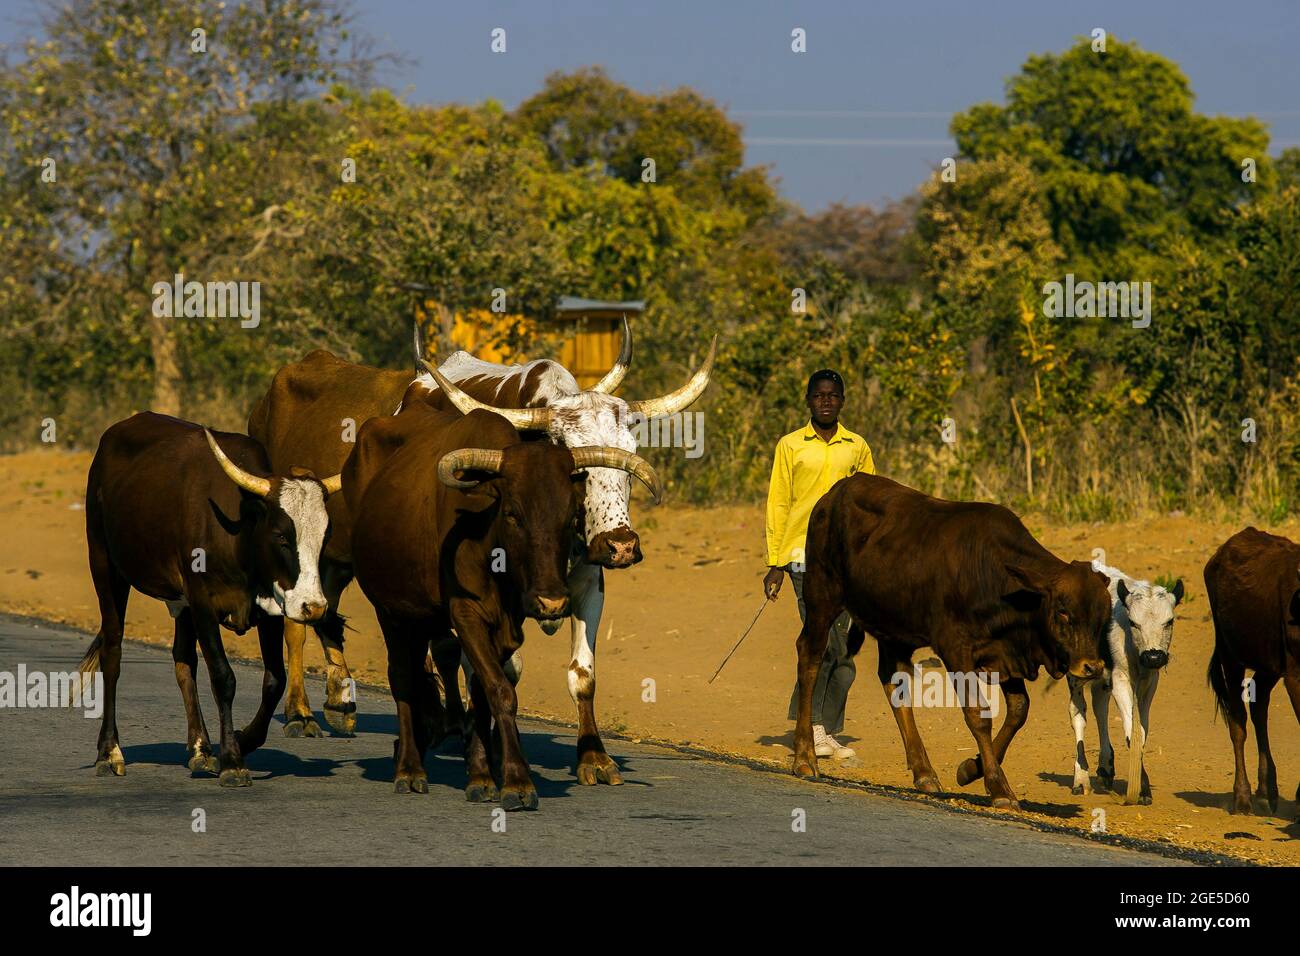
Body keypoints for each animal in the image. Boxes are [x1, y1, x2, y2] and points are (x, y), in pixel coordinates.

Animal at [77, 412, 340, 786]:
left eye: (325, 535)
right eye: (281, 536)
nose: (314, 606)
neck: (238, 529)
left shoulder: (270, 610)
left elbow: (274, 680)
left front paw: (242, 741)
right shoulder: (203, 604)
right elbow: (223, 677)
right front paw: (232, 760)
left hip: (181, 604)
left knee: (183, 661)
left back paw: (200, 749)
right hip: (105, 568)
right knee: (112, 654)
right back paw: (109, 752)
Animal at [343, 403, 662, 808]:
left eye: (570, 514)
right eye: (512, 513)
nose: (552, 601)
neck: (486, 540)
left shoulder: (507, 627)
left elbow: (485, 692)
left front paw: (482, 775)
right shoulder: (466, 614)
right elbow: (500, 691)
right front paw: (516, 781)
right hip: (391, 611)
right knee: (402, 677)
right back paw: (410, 769)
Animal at [792, 474, 1111, 809]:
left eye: (1102, 615)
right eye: (1063, 611)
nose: (1091, 667)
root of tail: (836, 491)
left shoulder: (1006, 655)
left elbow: (1018, 711)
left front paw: (971, 768)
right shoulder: (956, 650)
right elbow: (978, 715)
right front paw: (998, 787)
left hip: (892, 627)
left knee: (893, 681)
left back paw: (924, 773)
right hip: (821, 597)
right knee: (810, 657)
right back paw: (805, 758)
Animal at [1067, 559, 1183, 803]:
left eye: (1169, 621)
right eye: (1133, 623)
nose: (1154, 656)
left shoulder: (1150, 681)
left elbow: (1142, 733)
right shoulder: (1120, 678)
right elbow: (1132, 734)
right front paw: (1142, 788)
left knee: (1099, 708)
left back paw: (1105, 767)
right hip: (1077, 673)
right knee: (1078, 713)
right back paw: (1081, 779)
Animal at [1205, 527, 1300, 817]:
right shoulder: (1294, 675)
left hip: (1268, 666)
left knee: (1259, 708)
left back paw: (1267, 791)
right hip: (1230, 657)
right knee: (1238, 722)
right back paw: (1243, 797)